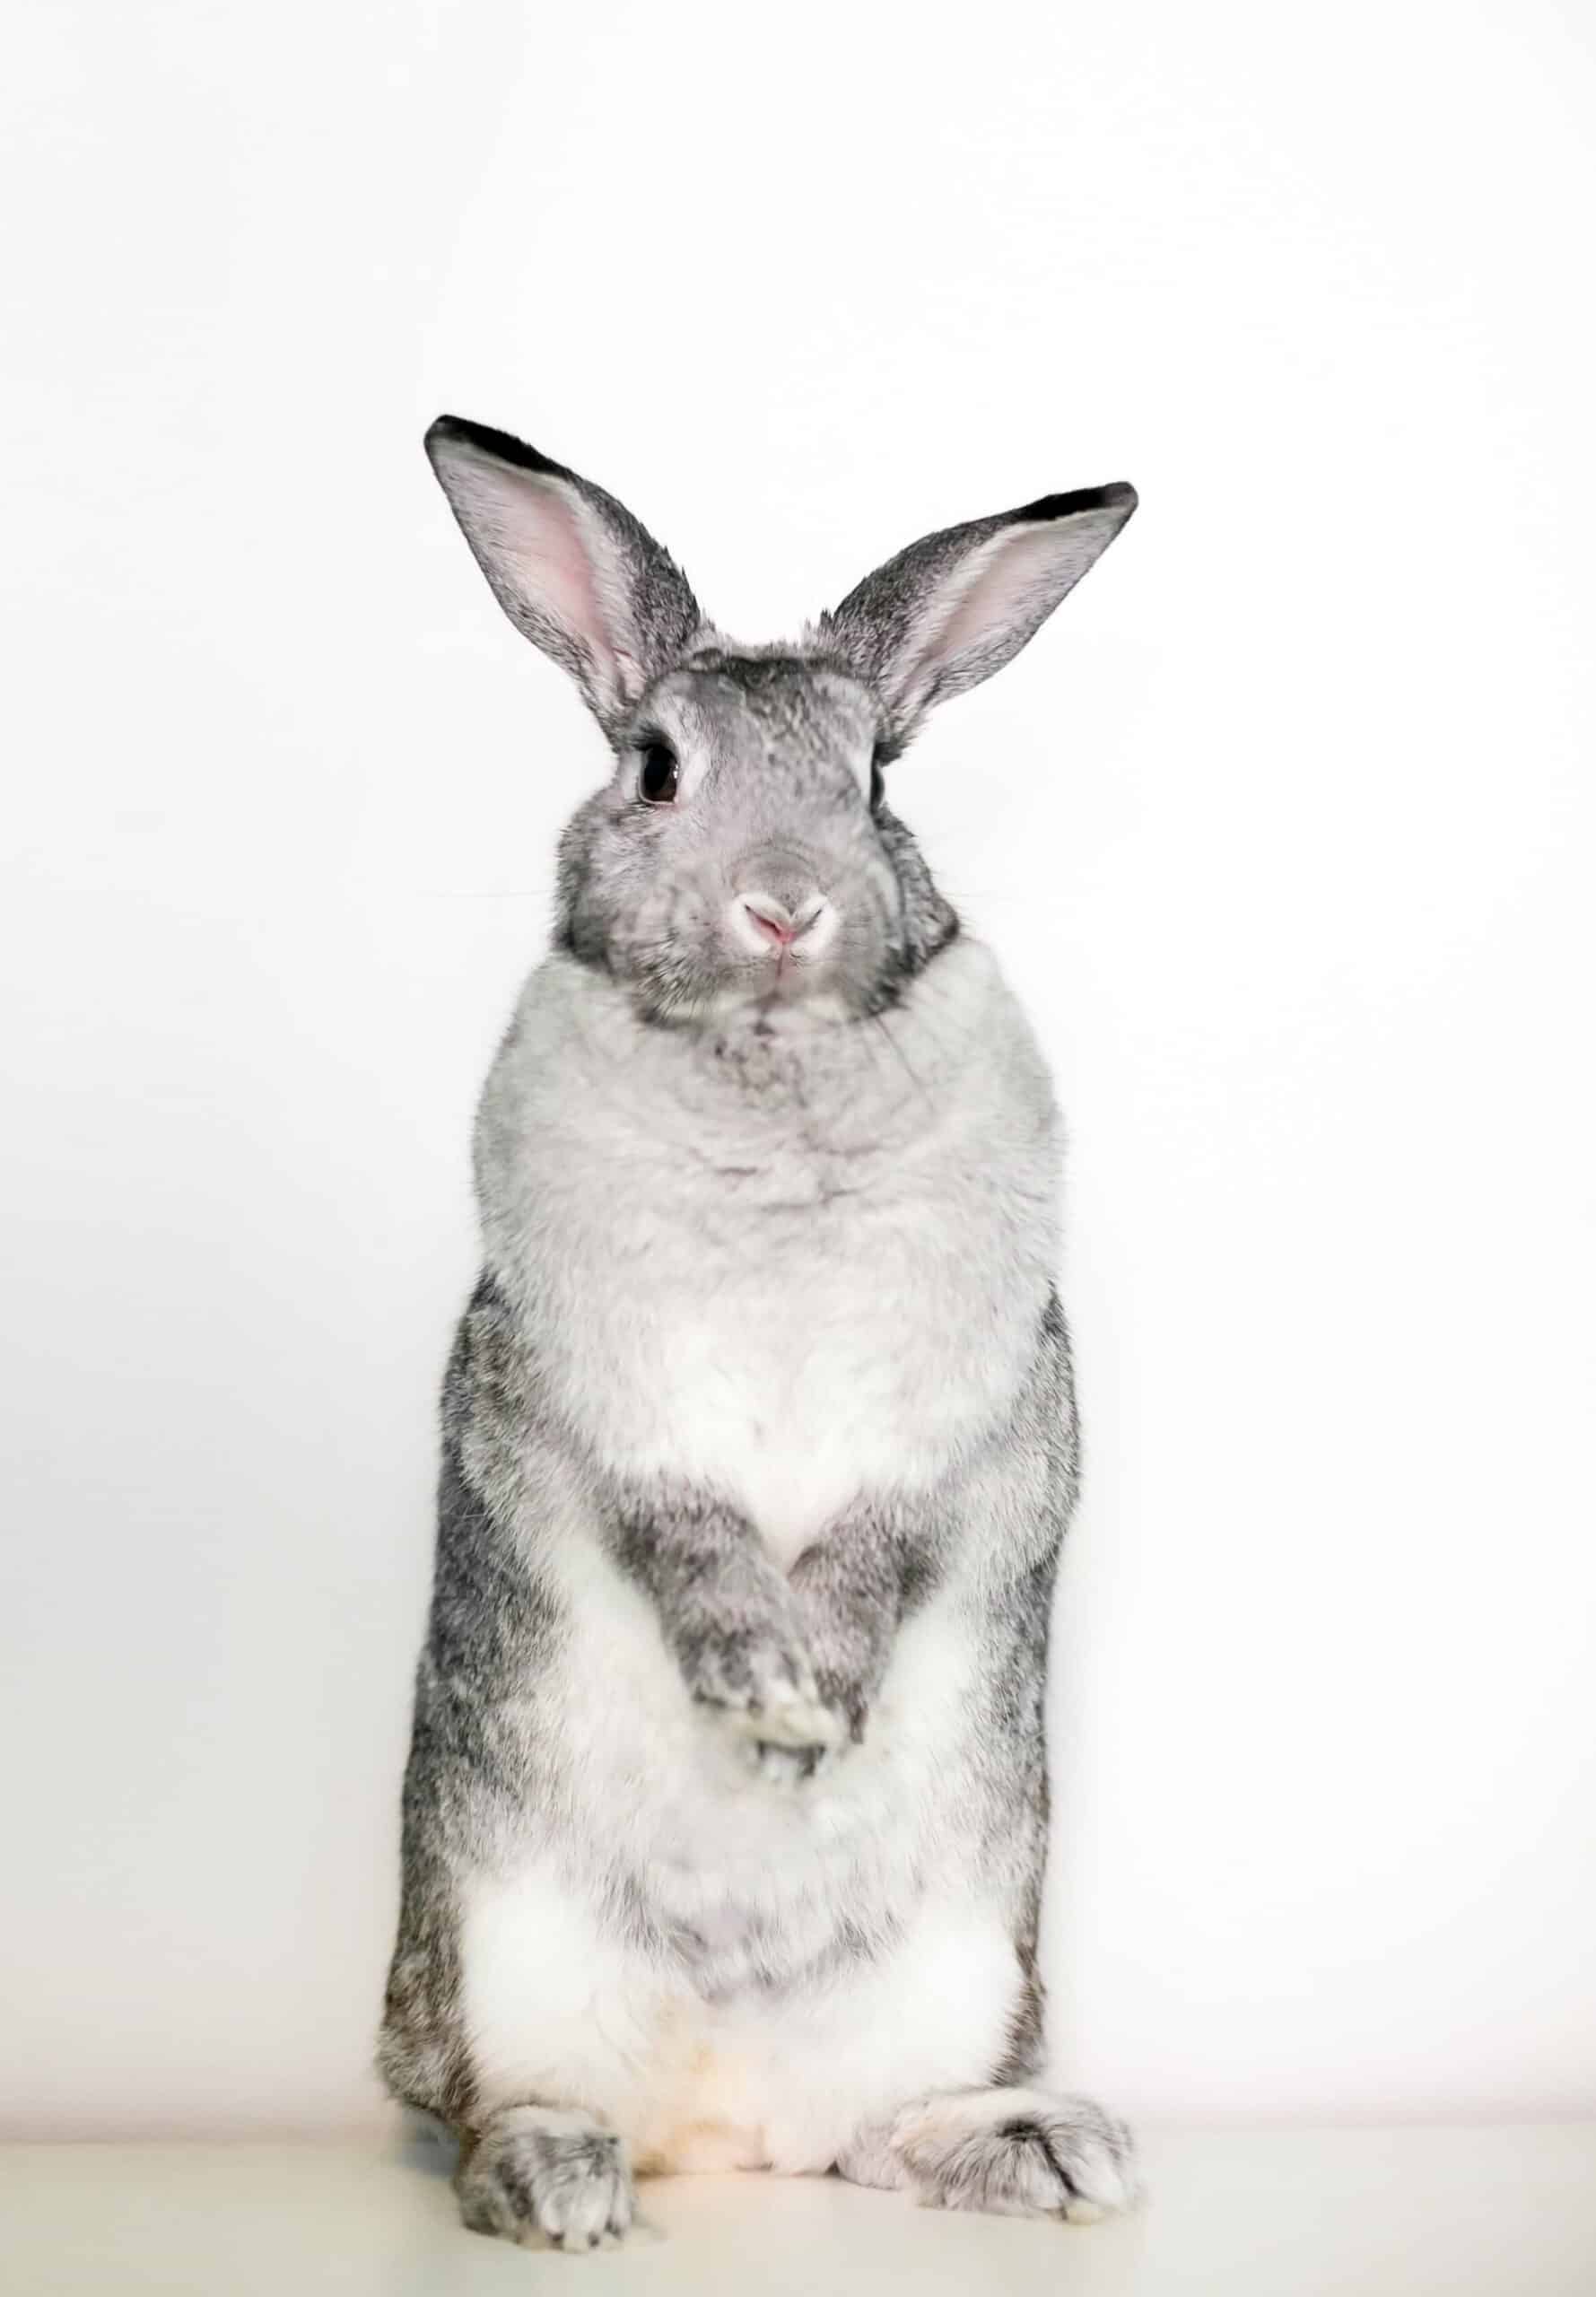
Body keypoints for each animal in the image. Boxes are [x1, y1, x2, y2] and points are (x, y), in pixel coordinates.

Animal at [377, 414, 1141, 2251]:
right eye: (658, 768)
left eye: (874, 782)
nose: (782, 904)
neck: (772, 1062)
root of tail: (720, 2126)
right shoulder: (605, 1396)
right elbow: (692, 1540)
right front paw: (772, 1702)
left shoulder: (950, 1413)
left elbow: (872, 1547)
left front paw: (820, 1701)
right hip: (492, 1952)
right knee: (486, 2112)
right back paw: (563, 2186)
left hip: (958, 1970)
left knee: (870, 2138)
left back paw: (1044, 2150)